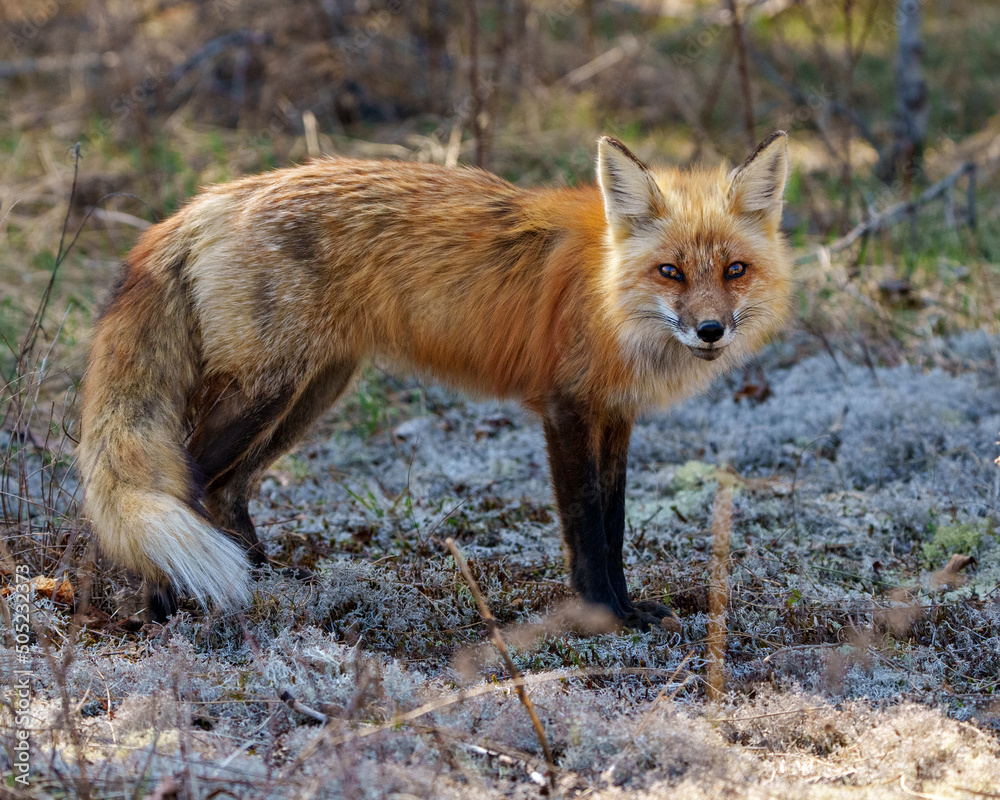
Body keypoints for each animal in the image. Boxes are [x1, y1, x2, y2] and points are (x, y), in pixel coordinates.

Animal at [77, 131, 792, 628]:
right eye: (671, 271)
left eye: (734, 270)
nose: (710, 331)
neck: (606, 295)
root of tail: (206, 200)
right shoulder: (565, 410)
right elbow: (587, 527)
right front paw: (603, 618)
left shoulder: (614, 416)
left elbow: (613, 526)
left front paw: (629, 608)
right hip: (266, 392)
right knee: (185, 481)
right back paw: (163, 605)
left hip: (311, 392)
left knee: (227, 489)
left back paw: (257, 581)